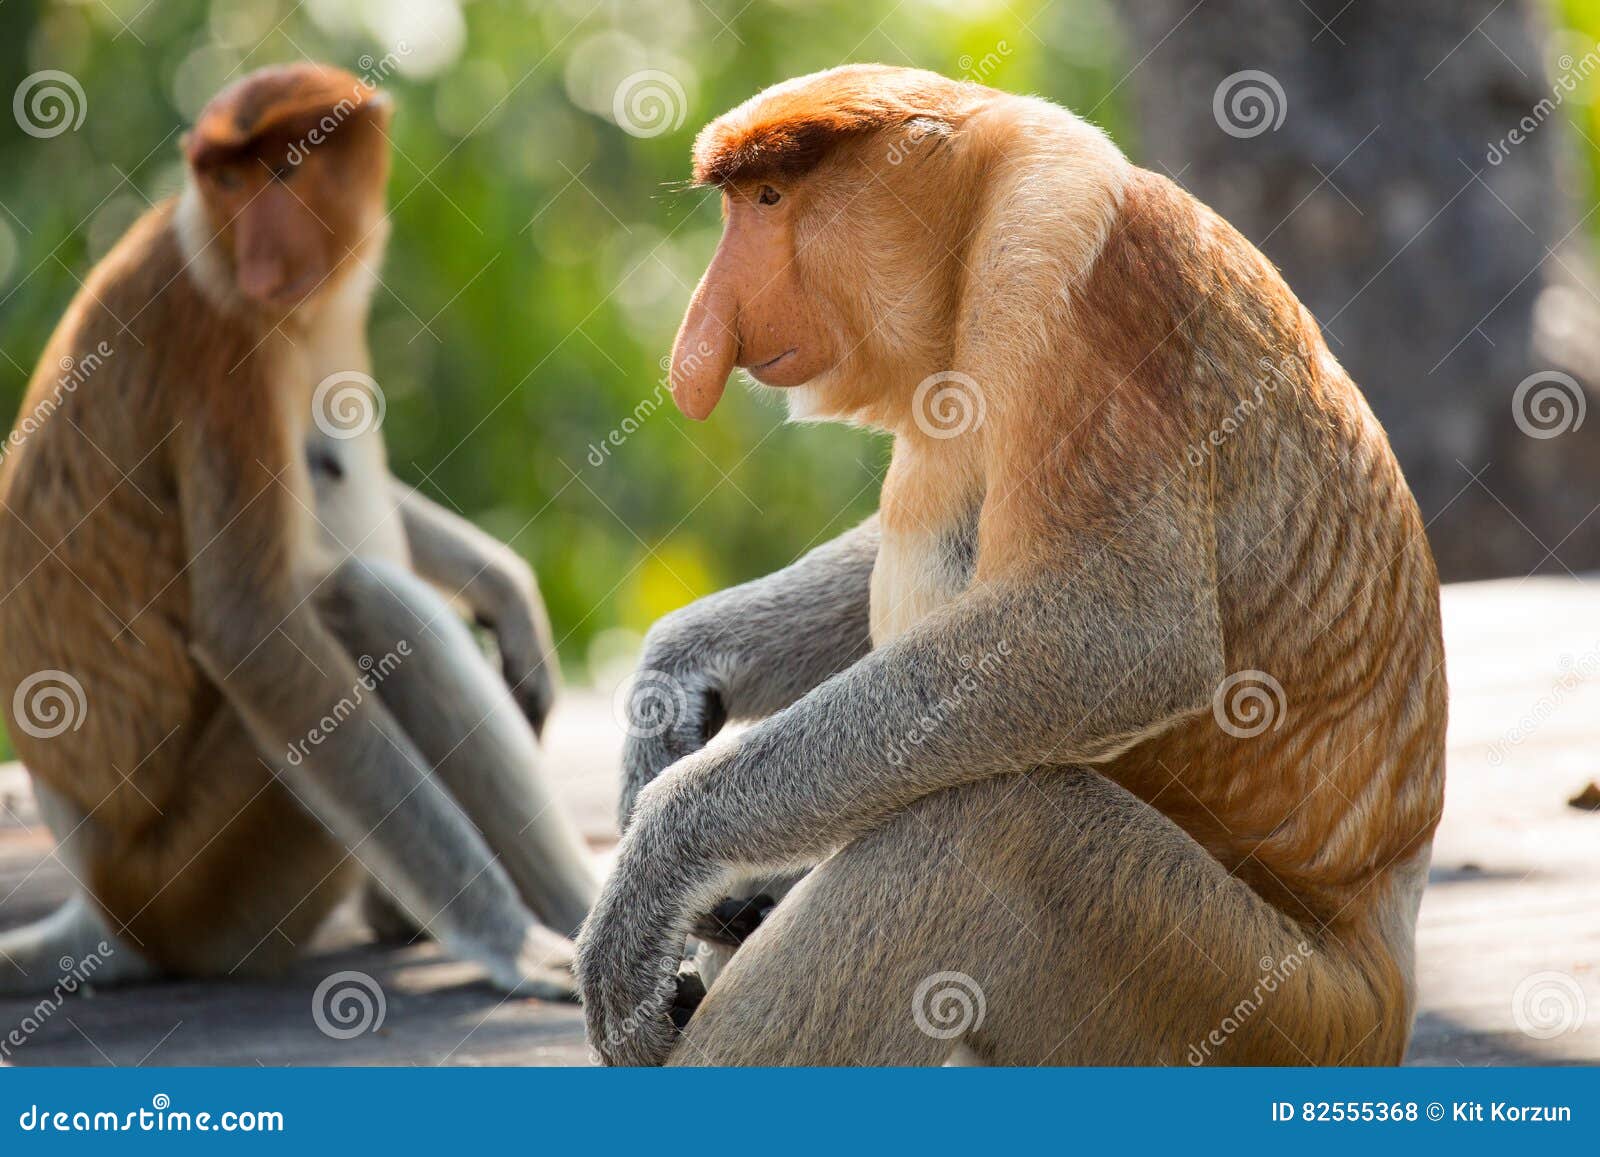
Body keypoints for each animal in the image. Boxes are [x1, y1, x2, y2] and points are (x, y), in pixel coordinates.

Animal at [0, 63, 597, 998]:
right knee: (364, 602)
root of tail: (103, 907)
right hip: (209, 881)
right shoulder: (223, 347)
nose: (258, 257)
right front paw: (515, 943)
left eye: (283, 173)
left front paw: (505, 586)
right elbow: (253, 628)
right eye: (228, 181)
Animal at [576, 65, 1448, 1066]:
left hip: (1238, 995)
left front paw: (656, 862)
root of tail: (1387, 953)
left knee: (985, 827)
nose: (702, 339)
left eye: (767, 199)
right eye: (741, 203)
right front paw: (673, 681)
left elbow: (1121, 629)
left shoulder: (1067, 265)